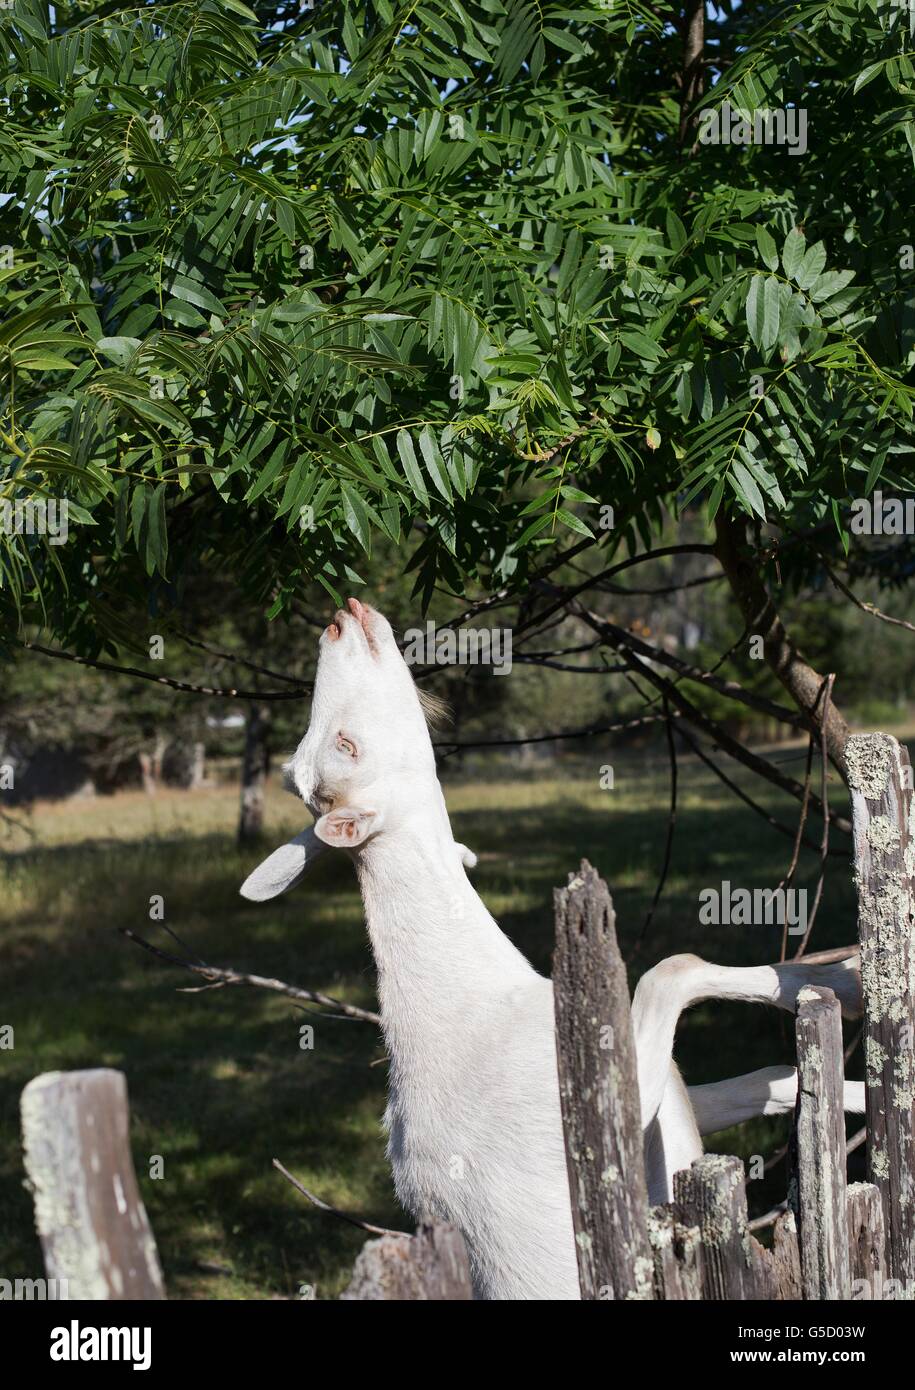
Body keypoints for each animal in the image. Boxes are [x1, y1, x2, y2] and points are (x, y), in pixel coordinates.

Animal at [241, 597, 864, 1300]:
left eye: (324, 753)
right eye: (348, 744)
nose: (341, 617)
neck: (477, 999)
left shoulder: (673, 1105)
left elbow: (767, 1080)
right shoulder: (594, 1114)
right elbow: (672, 969)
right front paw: (852, 984)